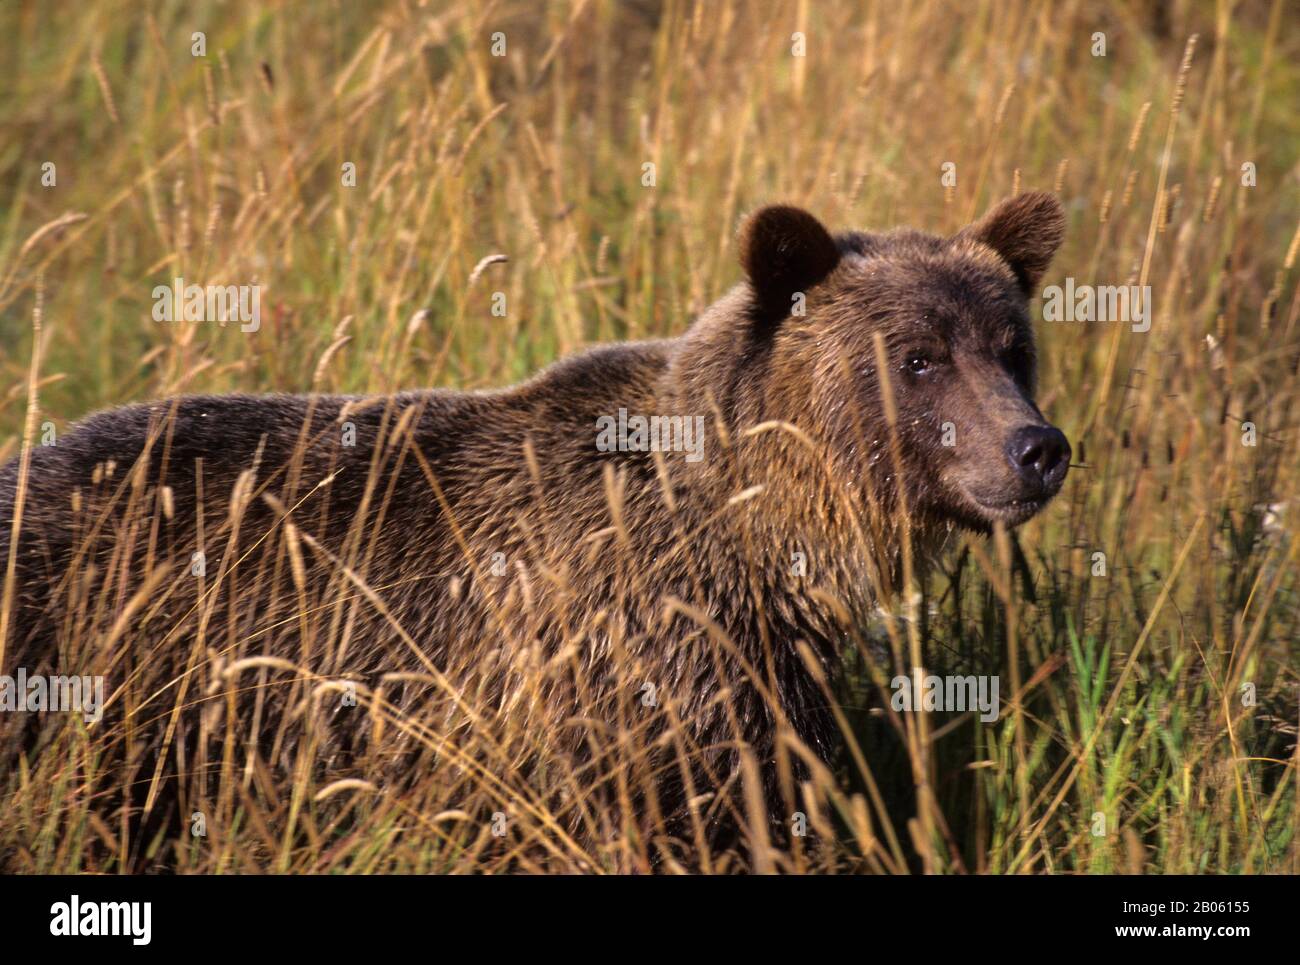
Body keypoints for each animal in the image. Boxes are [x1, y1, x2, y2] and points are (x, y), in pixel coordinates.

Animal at [0, 191, 1070, 869]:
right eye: (920, 357)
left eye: (1012, 347)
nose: (1037, 448)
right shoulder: (622, 674)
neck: (753, 534)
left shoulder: (751, 667)